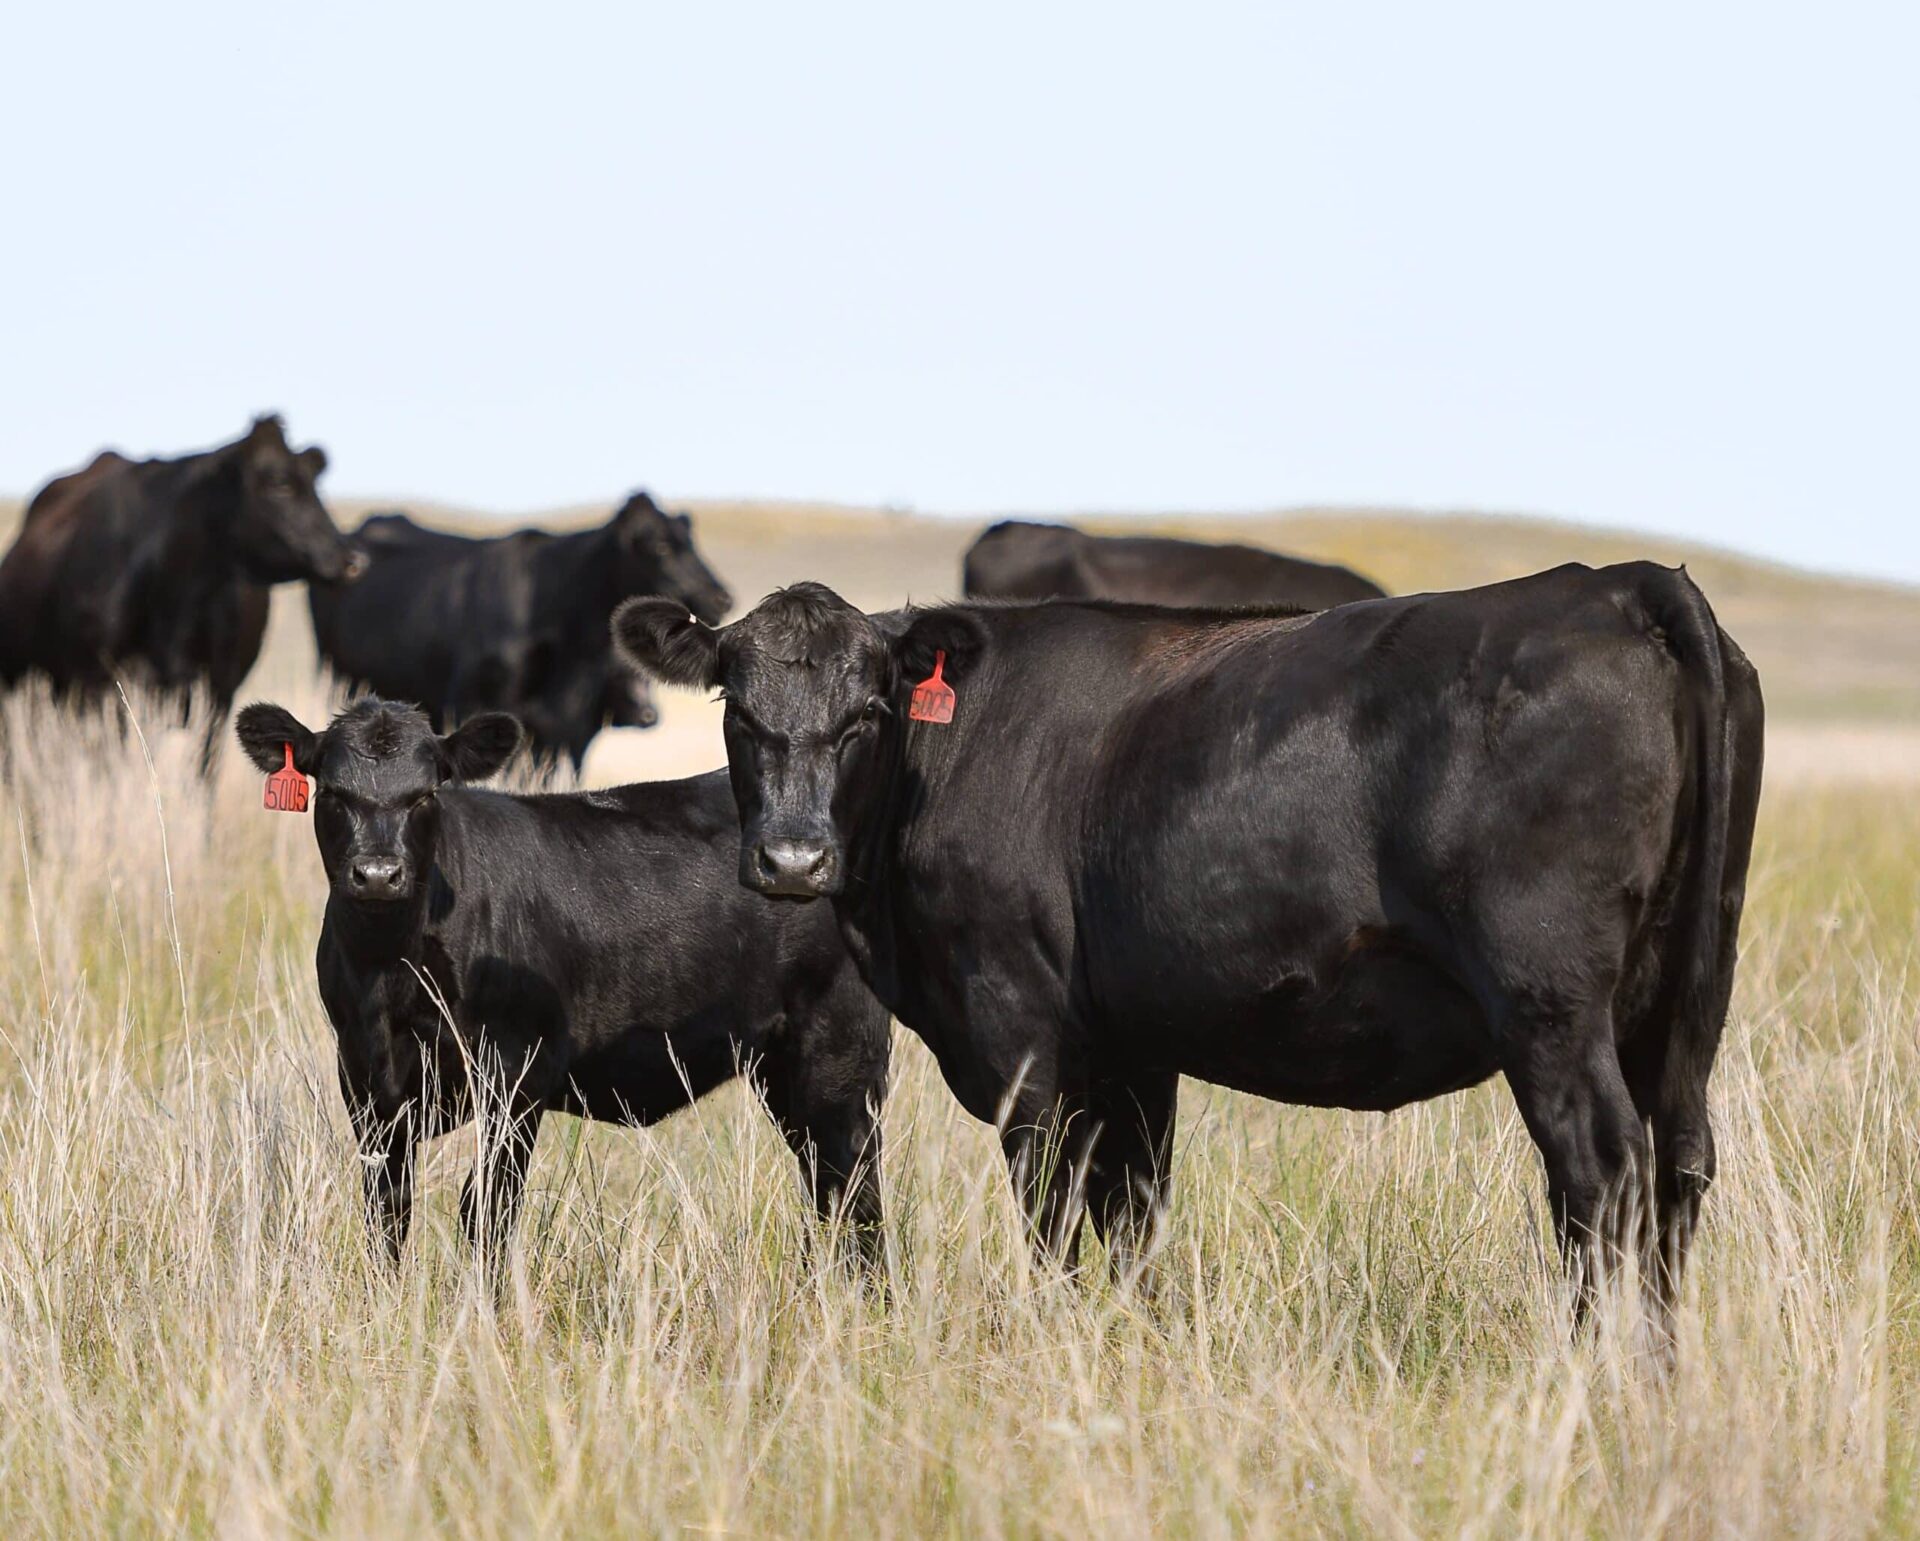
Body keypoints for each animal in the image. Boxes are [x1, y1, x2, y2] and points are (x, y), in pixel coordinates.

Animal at [233, 696, 889, 1269]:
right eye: (333, 792)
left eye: (425, 793)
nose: (376, 874)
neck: (391, 970)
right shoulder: (365, 1077)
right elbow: (388, 1209)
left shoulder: (520, 1071)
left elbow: (486, 1208)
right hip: (780, 1069)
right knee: (825, 1185)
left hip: (840, 1051)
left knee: (855, 1184)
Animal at [308, 492, 732, 771]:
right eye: (660, 547)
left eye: (690, 542)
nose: (722, 597)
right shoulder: (474, 707)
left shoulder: (561, 738)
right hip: (337, 676)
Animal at [614, 562, 1763, 1331]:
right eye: (736, 707)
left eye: (866, 710)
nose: (793, 857)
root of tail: (1617, 583)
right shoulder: (1133, 1046)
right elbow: (1134, 1216)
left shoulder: (1021, 1031)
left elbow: (1054, 1205)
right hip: (1685, 997)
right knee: (1679, 1163)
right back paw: (1656, 1364)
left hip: (1551, 1001)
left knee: (1598, 1169)